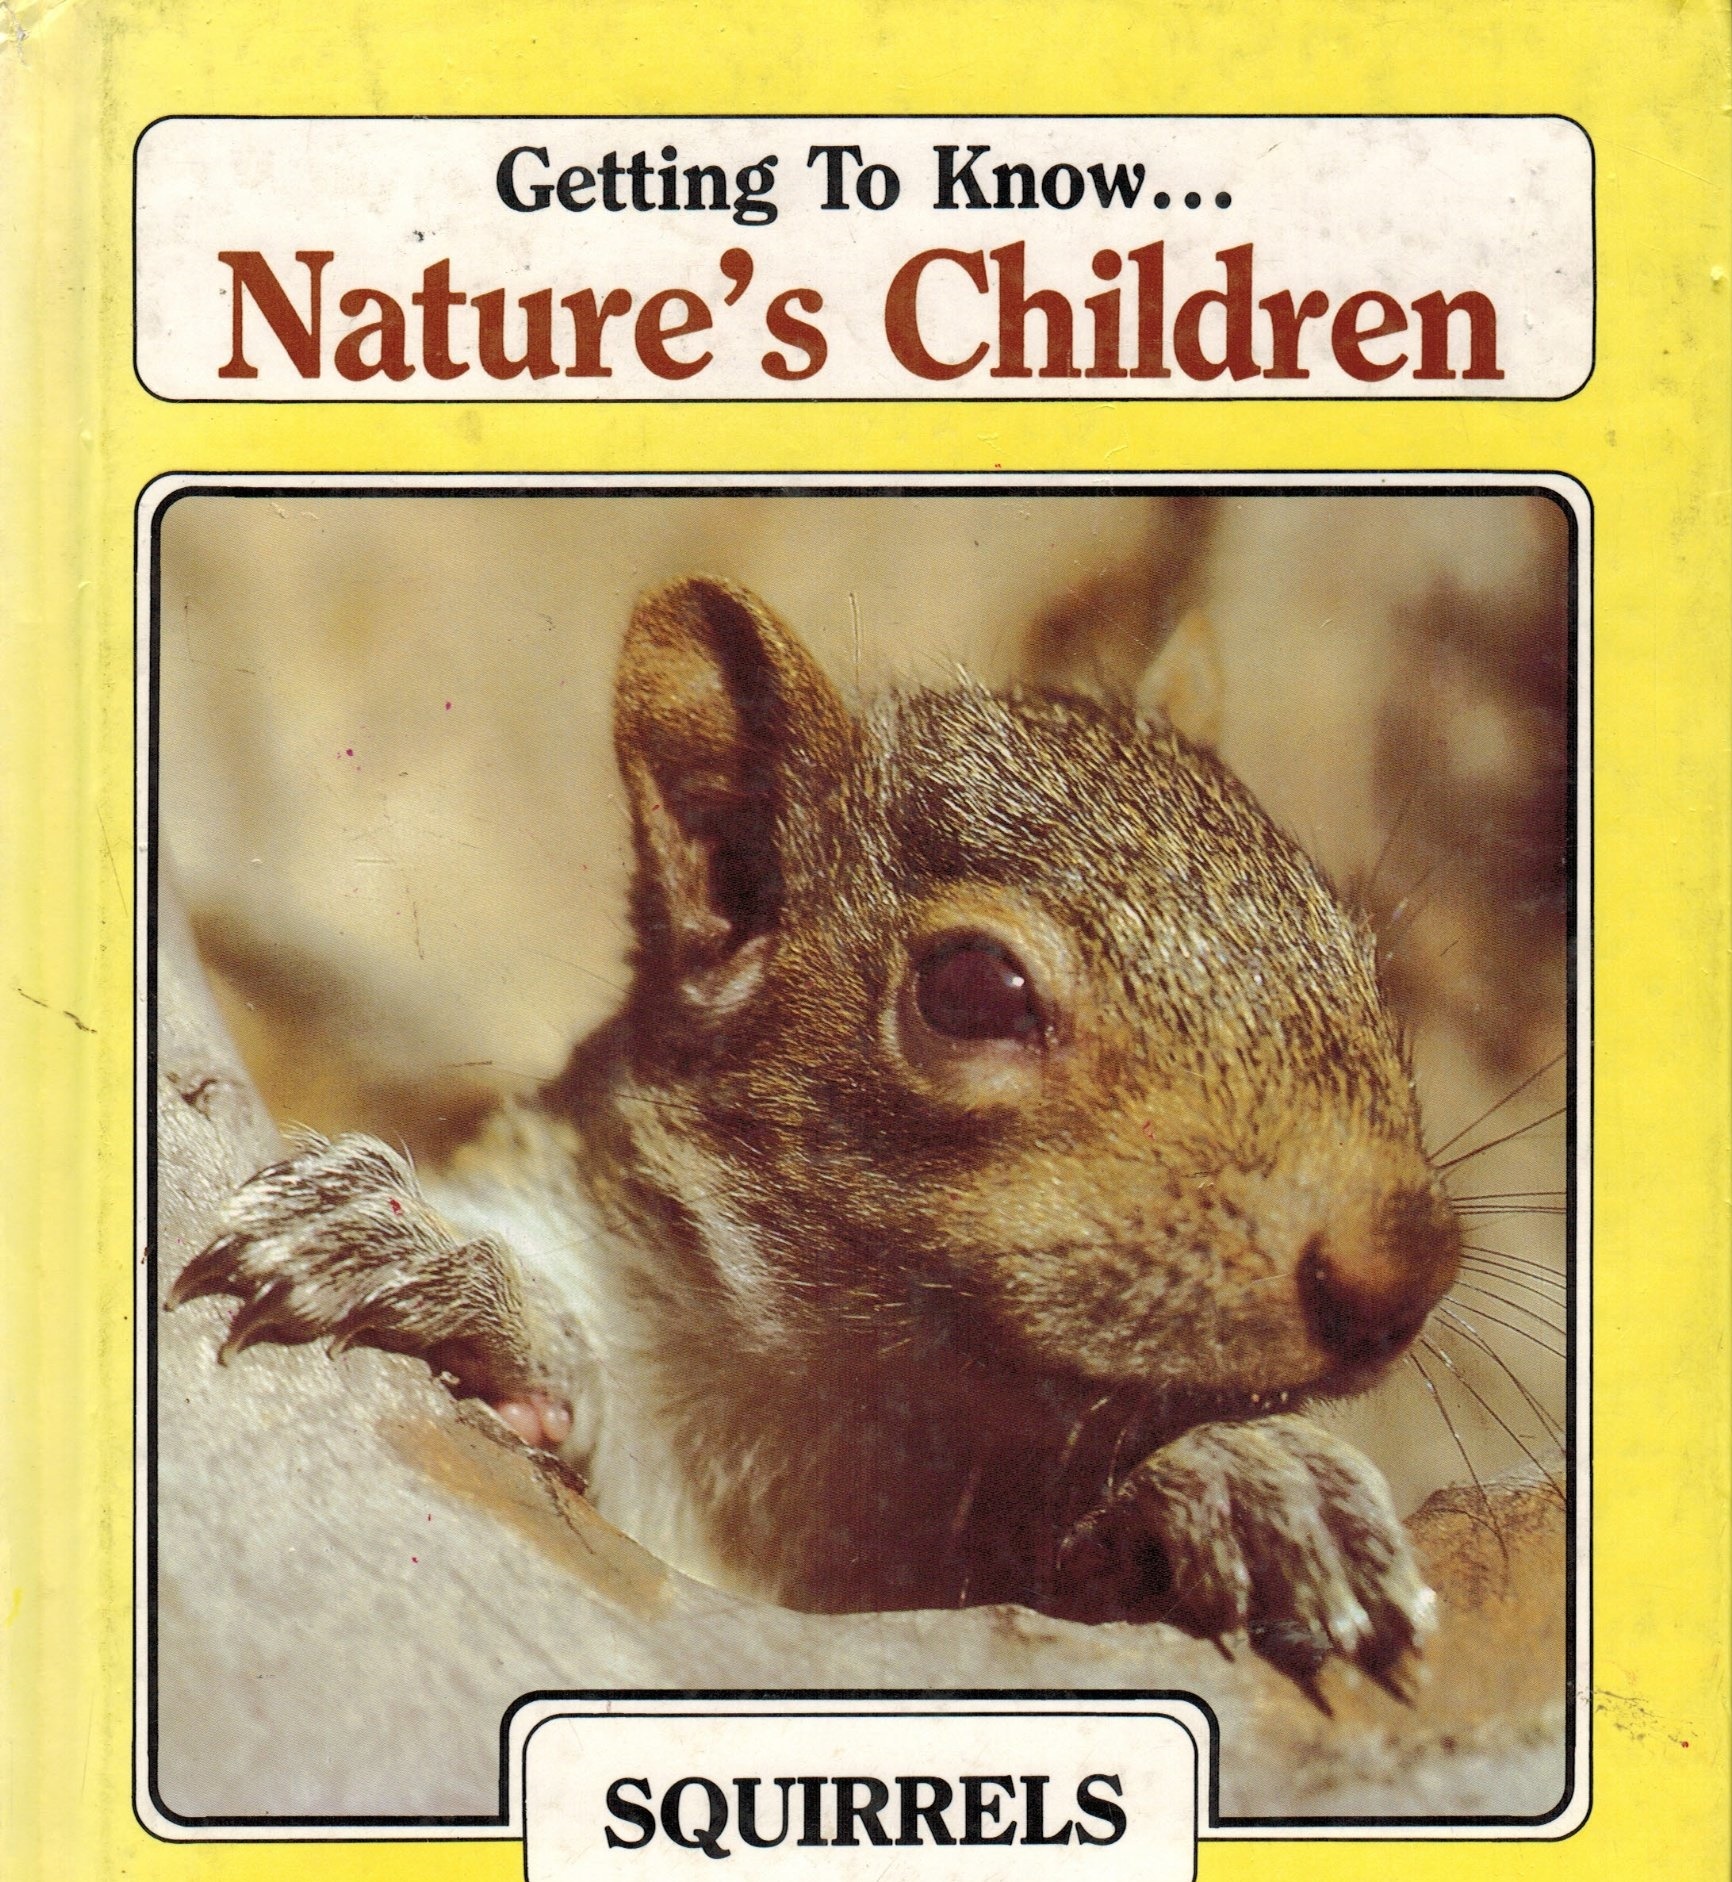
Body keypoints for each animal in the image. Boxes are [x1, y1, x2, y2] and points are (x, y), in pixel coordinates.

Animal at [171, 574, 1461, 1691]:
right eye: (973, 990)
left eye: (1357, 953)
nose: (1403, 1270)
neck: (855, 1411)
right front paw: (437, 1263)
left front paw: (1250, 1476)